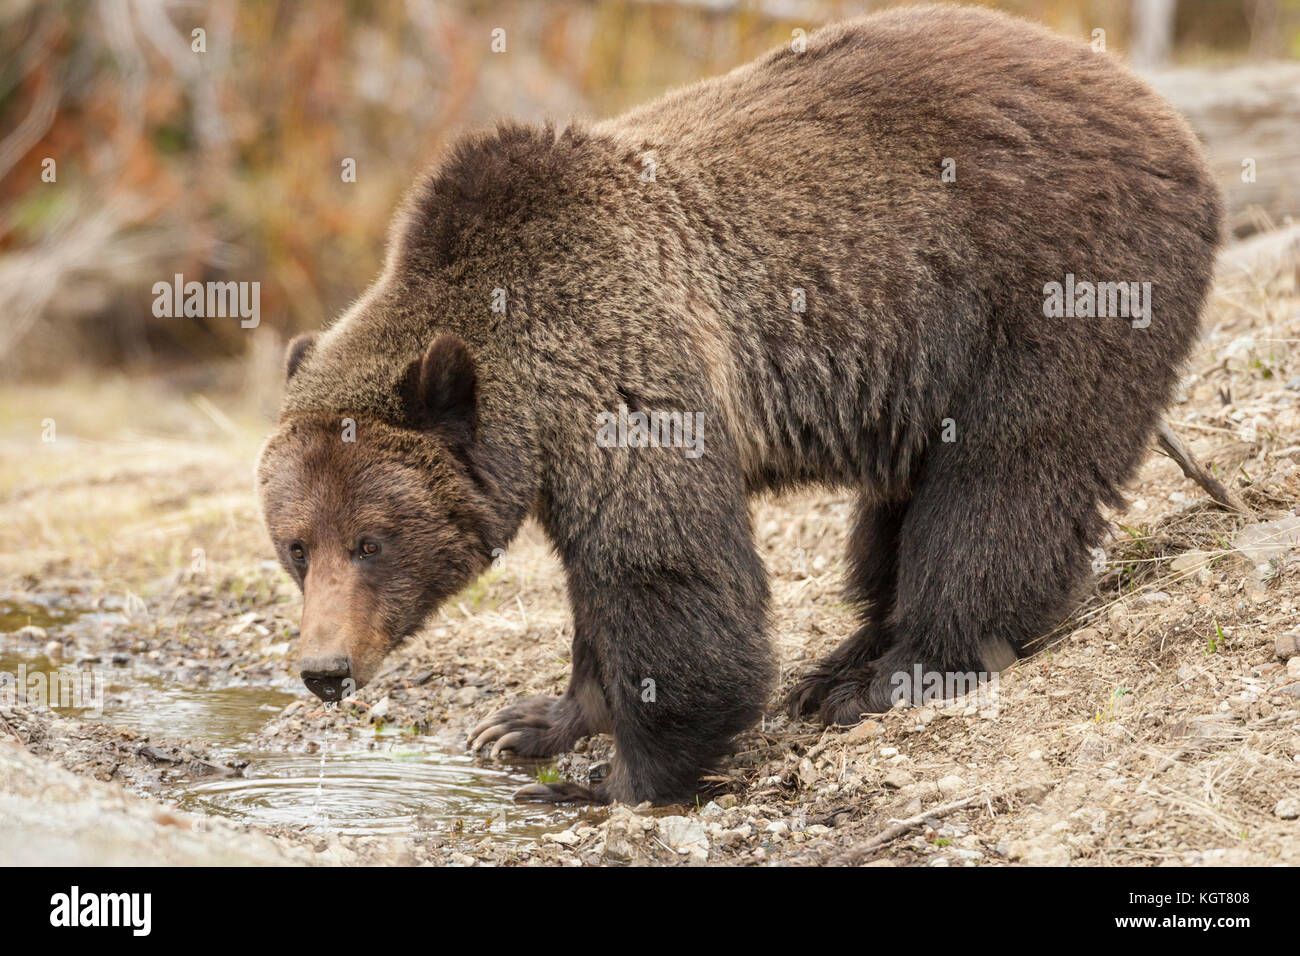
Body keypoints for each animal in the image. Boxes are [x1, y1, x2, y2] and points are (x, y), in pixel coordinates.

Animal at [256, 4, 1222, 806]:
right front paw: (528, 721)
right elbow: (600, 590)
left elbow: (666, 573)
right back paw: (842, 662)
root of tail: (1160, 113)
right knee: (902, 507)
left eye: (372, 541)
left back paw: (894, 672)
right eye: (297, 546)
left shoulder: (628, 376)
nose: (324, 669)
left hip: (1050, 284)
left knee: (1007, 478)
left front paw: (619, 777)